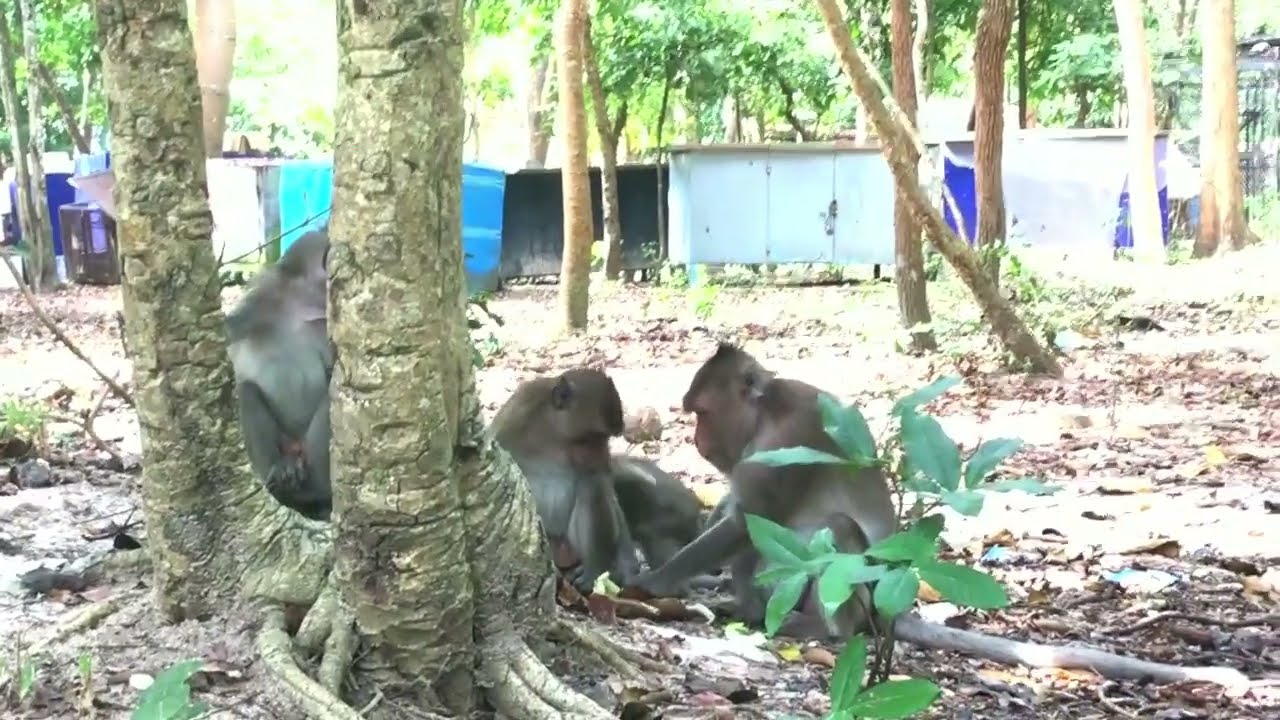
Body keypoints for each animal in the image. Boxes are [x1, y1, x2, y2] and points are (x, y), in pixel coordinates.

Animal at [489, 368, 644, 594]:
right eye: (591, 437)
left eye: (604, 439)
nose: (595, 453)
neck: (553, 433)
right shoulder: (518, 411)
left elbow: (605, 482)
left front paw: (628, 564)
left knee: (593, 485)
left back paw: (594, 569)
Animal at [631, 343, 1251, 687]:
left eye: (702, 412)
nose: (696, 438)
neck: (763, 414)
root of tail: (892, 609)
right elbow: (735, 515)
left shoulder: (783, 444)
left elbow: (747, 521)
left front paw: (649, 582)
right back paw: (743, 603)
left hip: (863, 593)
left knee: (833, 537)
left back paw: (809, 627)